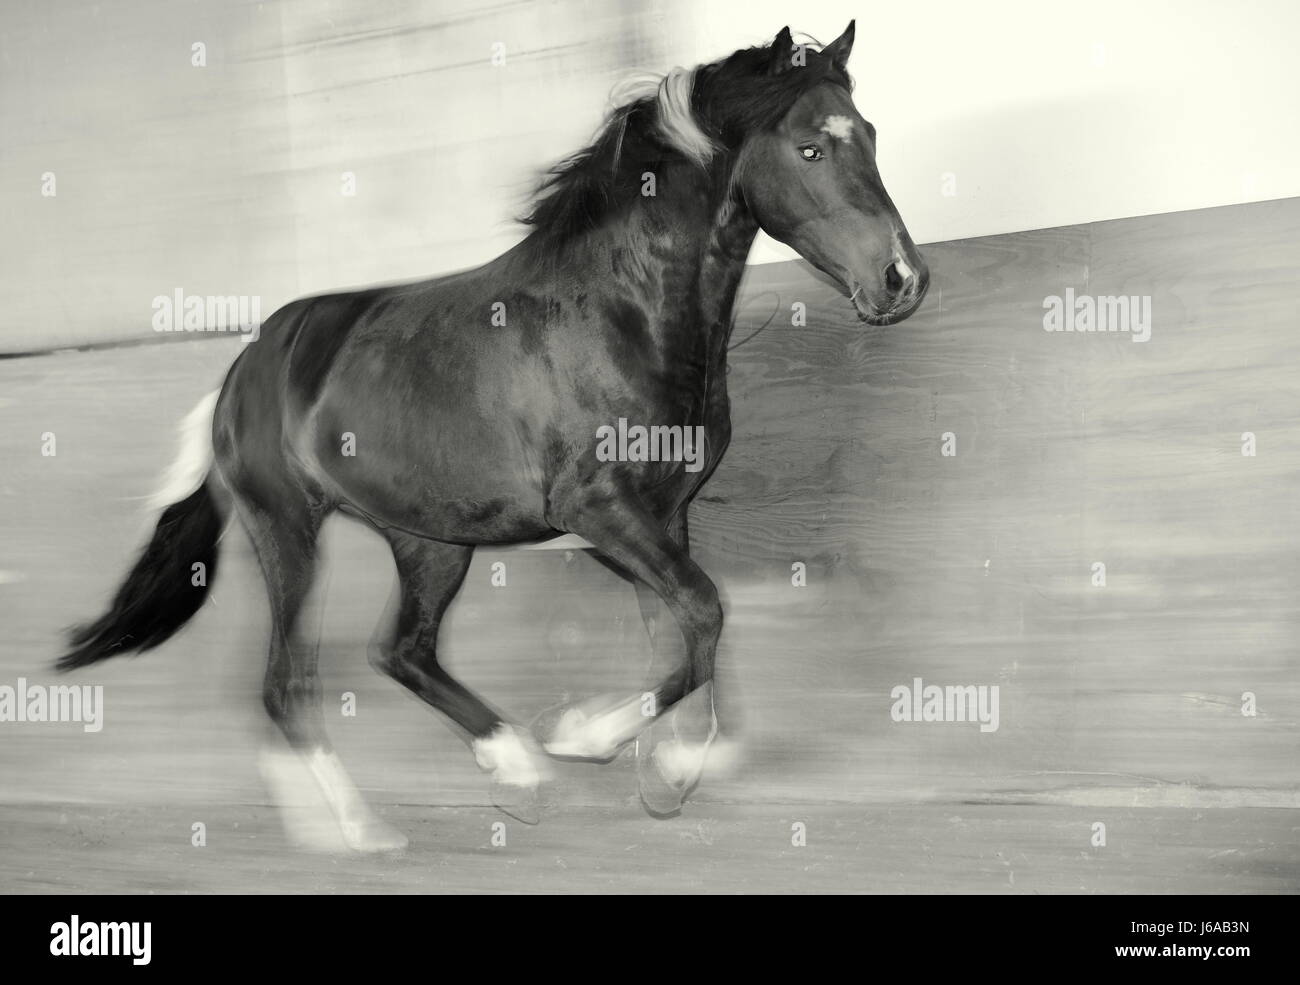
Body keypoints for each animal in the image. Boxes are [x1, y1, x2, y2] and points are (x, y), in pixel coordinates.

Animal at [58, 21, 930, 851]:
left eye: (869, 133)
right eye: (810, 146)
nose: (902, 280)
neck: (622, 313)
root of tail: (241, 369)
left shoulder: (663, 514)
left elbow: (684, 625)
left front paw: (670, 772)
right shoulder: (598, 512)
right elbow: (703, 609)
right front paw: (593, 737)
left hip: (431, 542)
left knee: (400, 650)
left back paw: (507, 764)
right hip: (289, 532)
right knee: (289, 683)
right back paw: (365, 829)